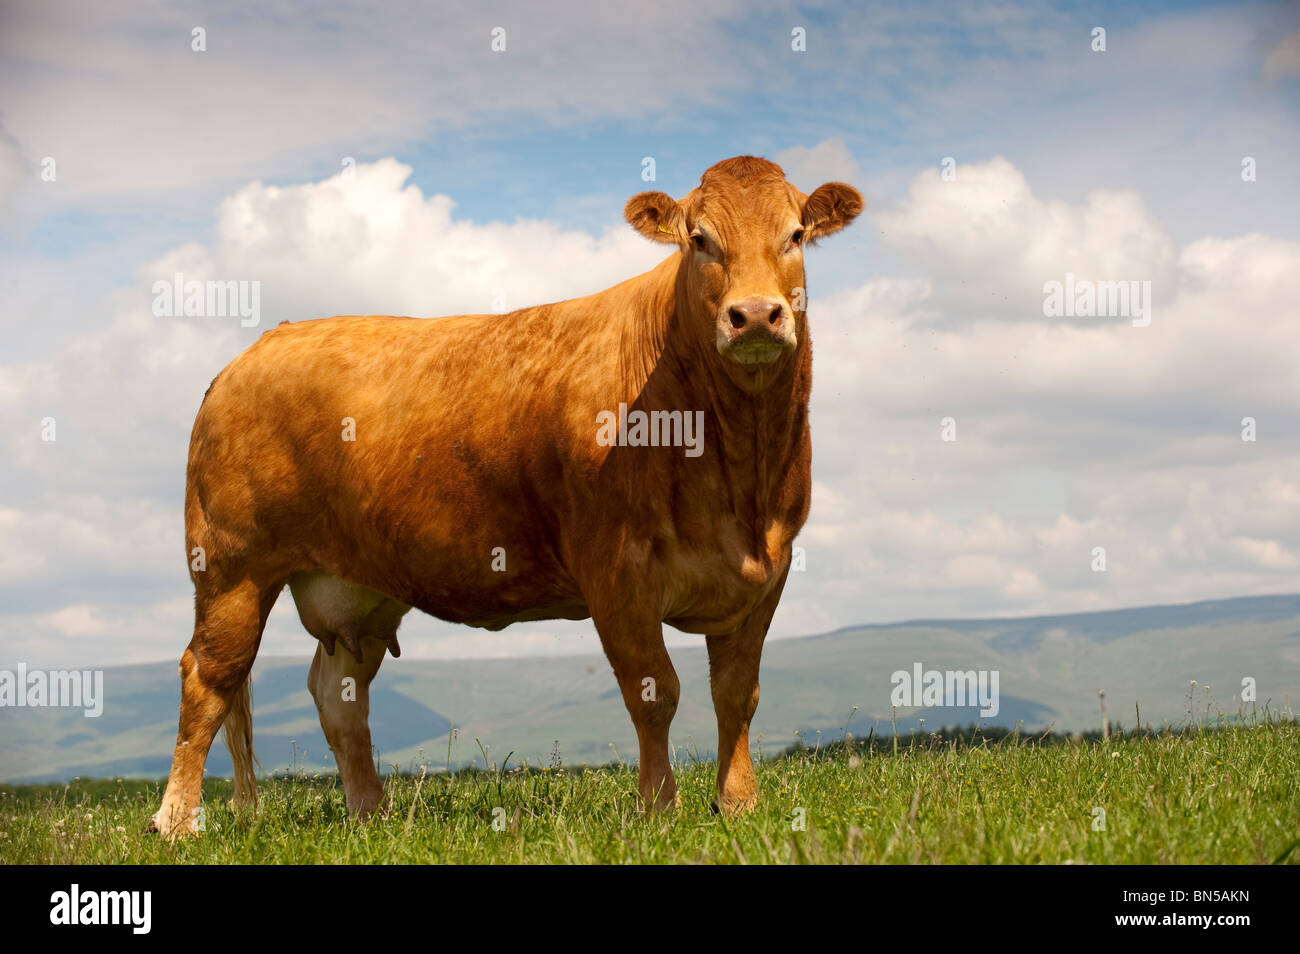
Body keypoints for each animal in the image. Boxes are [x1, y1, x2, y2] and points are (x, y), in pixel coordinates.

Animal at [151, 155, 862, 836]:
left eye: (795, 235)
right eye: (700, 239)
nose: (755, 315)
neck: (736, 471)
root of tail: (260, 346)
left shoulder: (768, 570)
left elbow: (737, 693)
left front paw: (738, 804)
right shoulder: (616, 570)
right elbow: (654, 692)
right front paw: (659, 808)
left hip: (357, 589)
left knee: (338, 694)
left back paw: (370, 813)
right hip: (232, 568)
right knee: (208, 677)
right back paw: (177, 821)